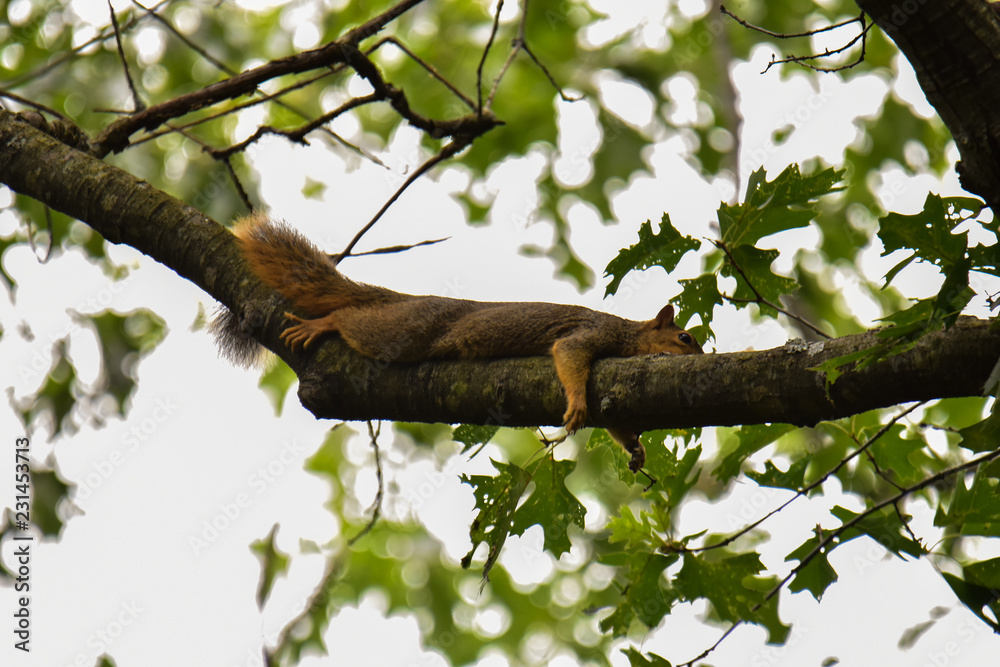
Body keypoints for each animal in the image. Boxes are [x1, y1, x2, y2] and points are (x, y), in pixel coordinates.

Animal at [214, 212, 704, 472]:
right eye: (684, 337)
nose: (704, 355)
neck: (627, 334)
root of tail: (407, 301)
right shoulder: (590, 334)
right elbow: (570, 357)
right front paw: (578, 405)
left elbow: (617, 420)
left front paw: (635, 447)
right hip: (403, 332)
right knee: (351, 320)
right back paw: (324, 325)